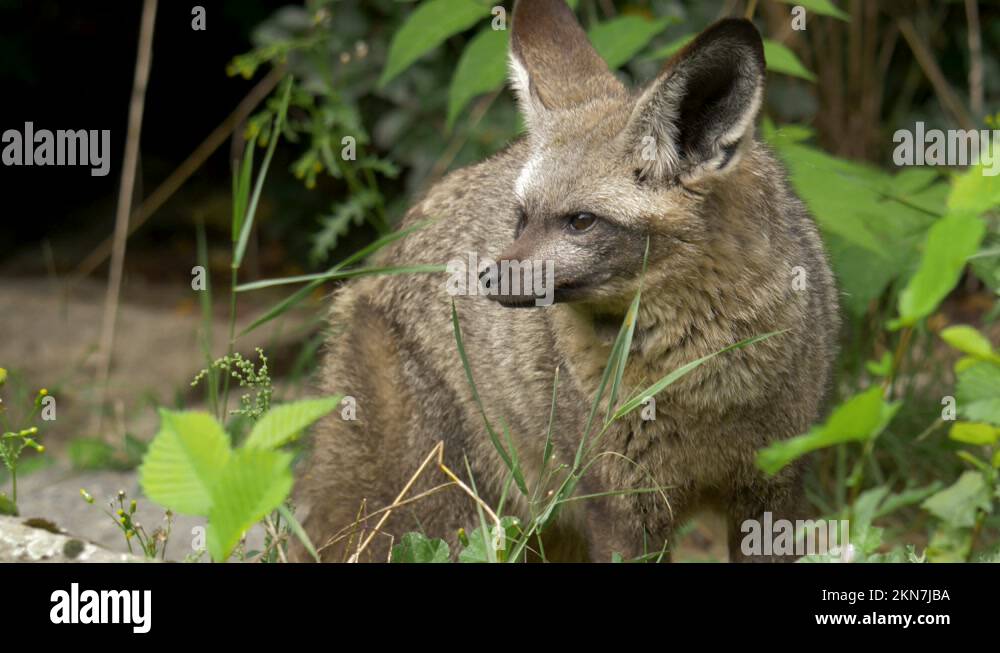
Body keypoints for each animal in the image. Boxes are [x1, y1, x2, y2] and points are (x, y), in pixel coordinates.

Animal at [291, 0, 839, 562]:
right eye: (521, 218)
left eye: (580, 221)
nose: (483, 277)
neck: (705, 385)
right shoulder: (620, 508)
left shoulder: (771, 492)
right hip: (438, 513)